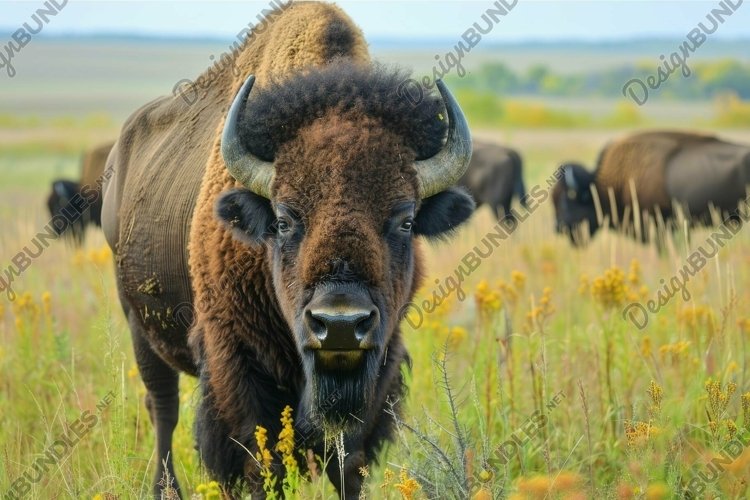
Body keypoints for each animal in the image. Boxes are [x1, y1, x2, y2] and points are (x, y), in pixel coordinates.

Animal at [101, 2, 474, 498]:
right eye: (283, 219)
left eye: (406, 219)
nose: (340, 326)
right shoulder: (236, 360)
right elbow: (261, 460)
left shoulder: (381, 360)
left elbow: (348, 461)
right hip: (139, 325)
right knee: (163, 406)